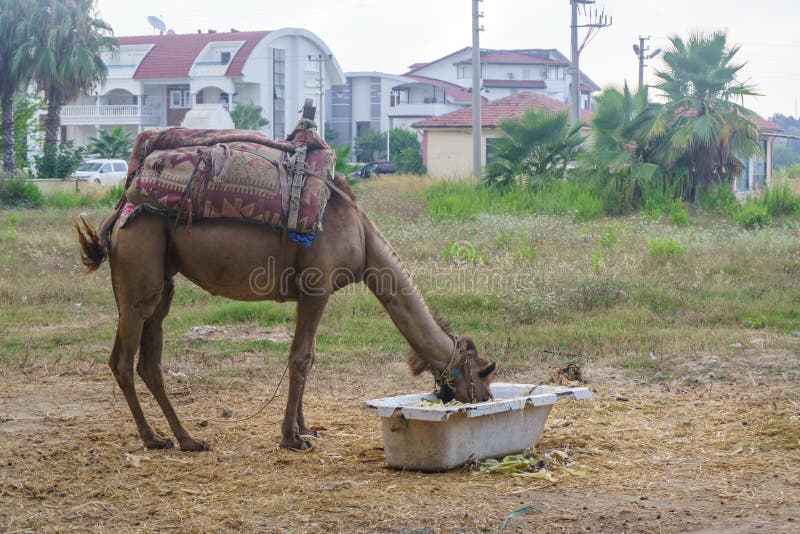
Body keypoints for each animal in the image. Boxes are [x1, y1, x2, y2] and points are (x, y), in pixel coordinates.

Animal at [75, 175, 496, 452]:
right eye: (483, 373)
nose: (487, 399)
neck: (364, 241)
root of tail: (115, 219)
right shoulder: (317, 287)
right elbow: (301, 358)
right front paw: (292, 438)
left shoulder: (307, 293)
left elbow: (306, 357)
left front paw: (306, 430)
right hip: (140, 272)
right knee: (122, 359)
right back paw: (153, 438)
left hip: (162, 280)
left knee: (149, 360)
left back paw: (187, 438)